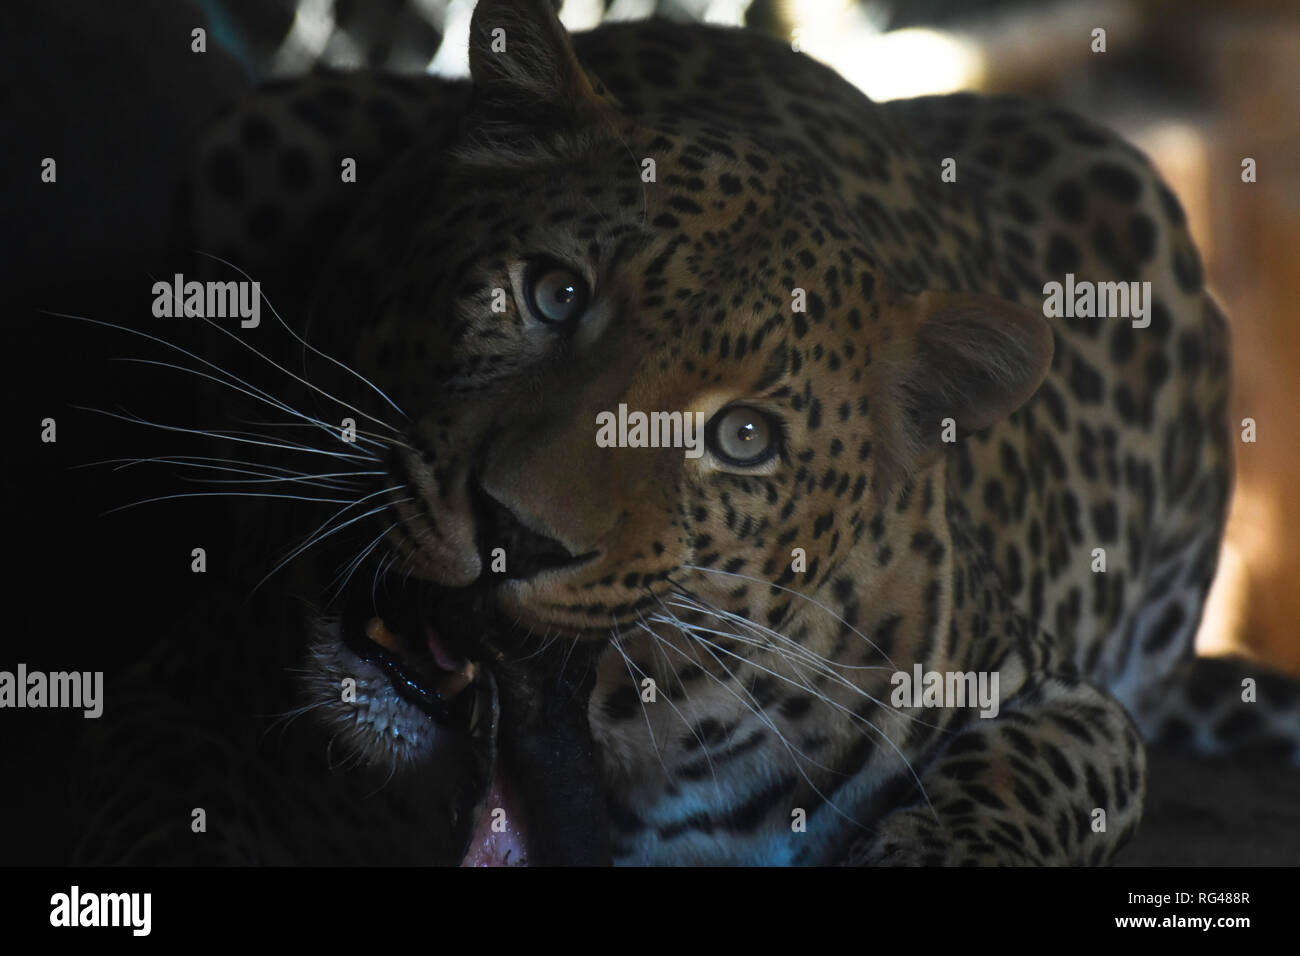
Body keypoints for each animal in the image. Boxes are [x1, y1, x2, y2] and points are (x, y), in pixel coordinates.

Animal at [75, 0, 1300, 866]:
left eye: (745, 439)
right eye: (553, 293)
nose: (514, 534)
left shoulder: (1062, 705)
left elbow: (1002, 799)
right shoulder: (177, 704)